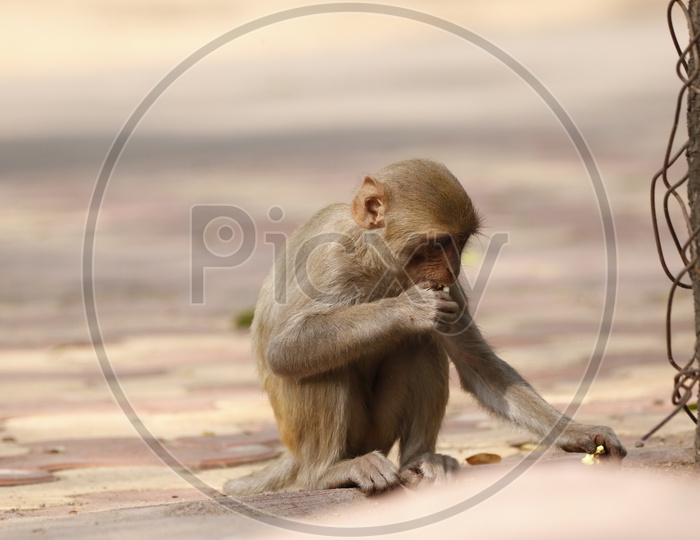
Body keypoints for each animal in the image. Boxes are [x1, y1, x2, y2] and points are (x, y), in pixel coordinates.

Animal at [223, 158, 626, 496]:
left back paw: (420, 461)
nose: (454, 269)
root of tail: (295, 456)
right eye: (438, 243)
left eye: (459, 242)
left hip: (376, 432)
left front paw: (577, 432)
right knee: (322, 366)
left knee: (420, 346)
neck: (375, 258)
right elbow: (284, 350)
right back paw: (328, 472)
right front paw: (410, 310)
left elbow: (477, 367)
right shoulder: (330, 262)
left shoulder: (448, 291)